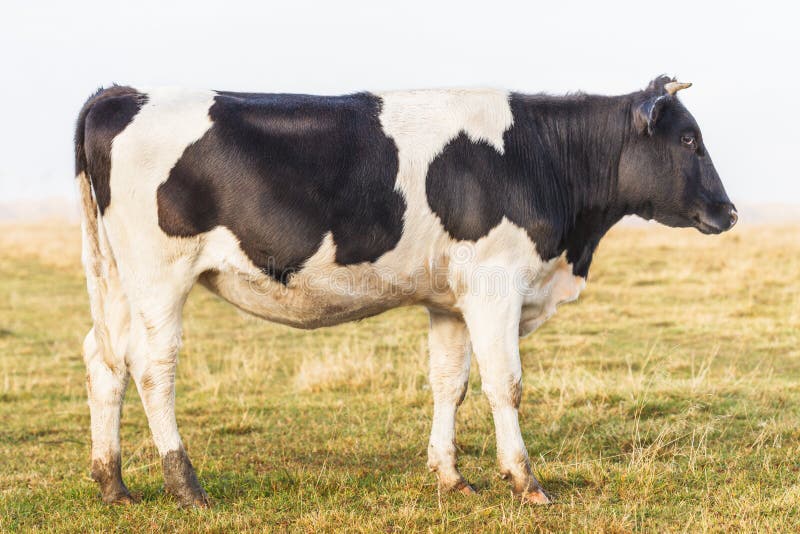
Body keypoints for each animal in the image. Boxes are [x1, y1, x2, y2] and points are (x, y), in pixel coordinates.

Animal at [74, 76, 736, 507]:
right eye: (688, 140)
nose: (729, 212)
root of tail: (122, 94)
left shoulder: (452, 301)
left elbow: (451, 383)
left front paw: (450, 475)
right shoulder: (494, 284)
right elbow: (506, 384)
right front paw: (526, 481)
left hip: (116, 278)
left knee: (104, 359)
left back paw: (114, 484)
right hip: (160, 274)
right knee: (152, 367)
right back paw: (185, 486)